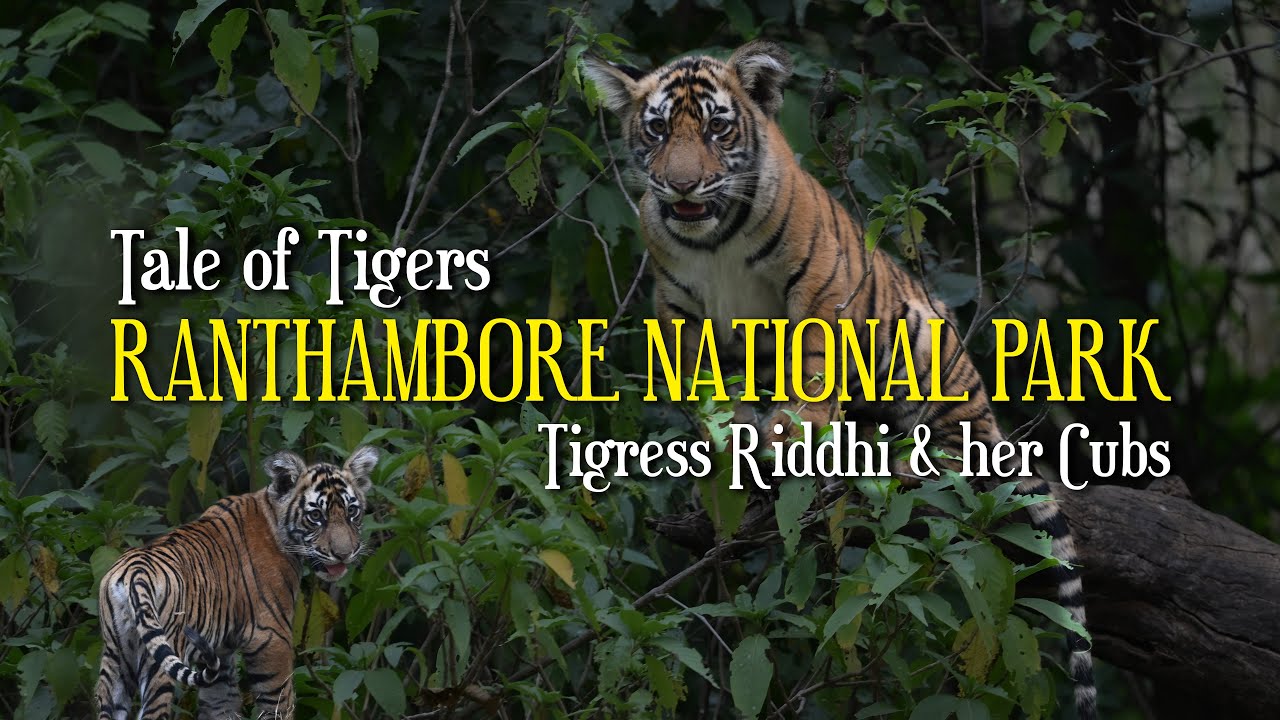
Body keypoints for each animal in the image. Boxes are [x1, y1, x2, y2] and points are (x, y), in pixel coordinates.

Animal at [95, 445, 379, 720]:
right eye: (316, 516)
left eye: (352, 511)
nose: (344, 554)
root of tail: (134, 572)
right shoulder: (272, 637)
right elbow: (279, 701)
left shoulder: (220, 654)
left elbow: (221, 705)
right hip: (158, 661)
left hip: (116, 659)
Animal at [583, 41, 1096, 719]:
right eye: (659, 129)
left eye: (718, 128)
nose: (683, 183)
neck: (712, 238)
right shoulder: (682, 316)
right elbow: (711, 405)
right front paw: (722, 474)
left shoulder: (821, 286)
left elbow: (813, 377)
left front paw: (786, 446)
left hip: (928, 352)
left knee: (962, 454)